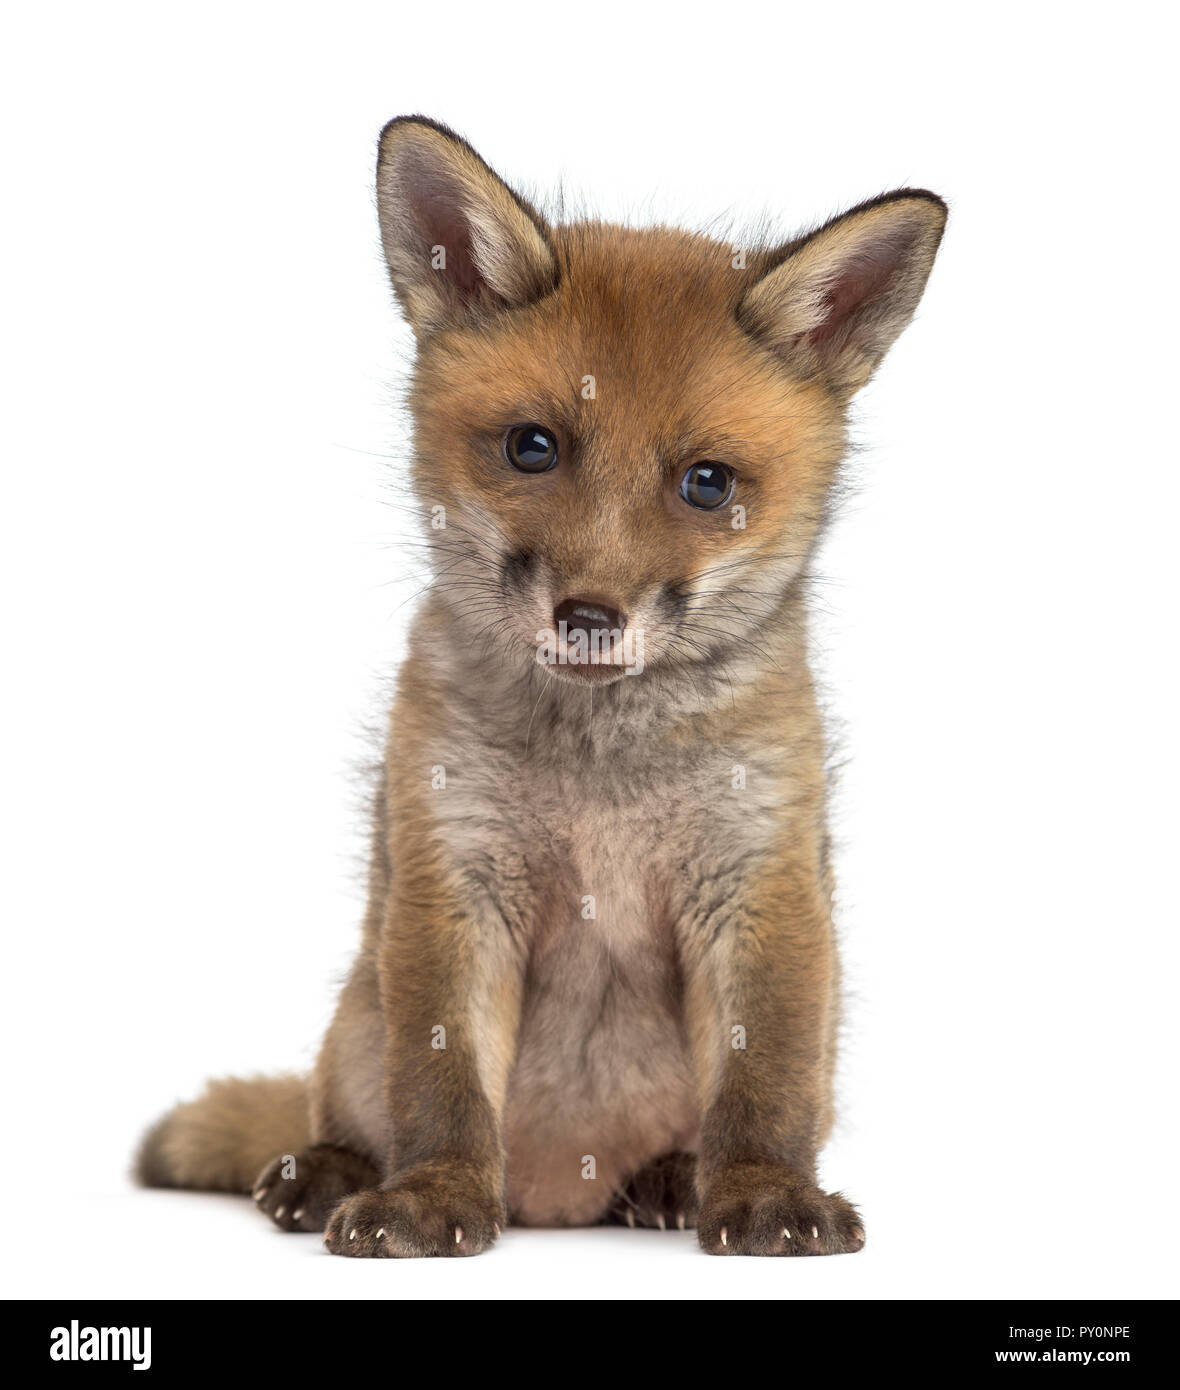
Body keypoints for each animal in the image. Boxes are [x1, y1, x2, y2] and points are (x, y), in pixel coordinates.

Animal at [137, 116, 946, 1257]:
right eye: (533, 448)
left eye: (706, 483)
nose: (590, 617)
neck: (599, 783)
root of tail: (560, 1198)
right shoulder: (453, 871)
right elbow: (442, 1082)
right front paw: (432, 1197)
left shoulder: (760, 878)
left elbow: (768, 1079)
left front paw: (762, 1192)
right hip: (356, 1018)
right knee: (337, 1108)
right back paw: (329, 1172)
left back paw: (670, 1180)